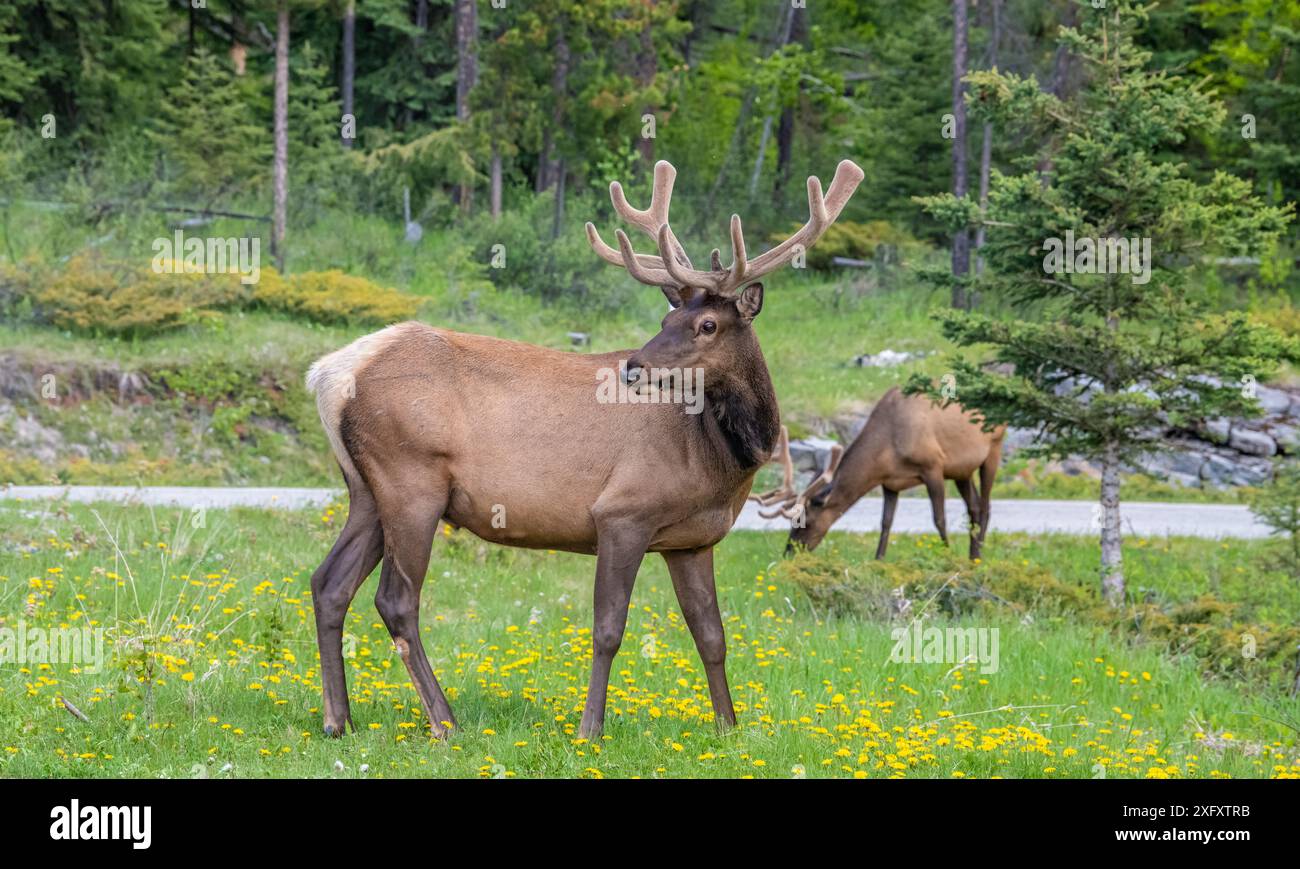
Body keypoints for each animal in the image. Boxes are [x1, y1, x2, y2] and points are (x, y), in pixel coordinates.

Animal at [305, 159, 865, 739]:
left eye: (707, 324)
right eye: (666, 320)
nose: (634, 367)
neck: (721, 459)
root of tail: (327, 374)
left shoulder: (692, 540)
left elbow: (711, 633)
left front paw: (728, 726)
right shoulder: (623, 512)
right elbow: (608, 627)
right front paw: (590, 727)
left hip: (366, 490)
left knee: (328, 583)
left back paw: (338, 721)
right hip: (411, 482)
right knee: (396, 600)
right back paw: (444, 722)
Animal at [753, 388, 1005, 559]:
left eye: (804, 522)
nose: (789, 552)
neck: (887, 449)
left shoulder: (933, 466)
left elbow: (939, 518)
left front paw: (947, 554)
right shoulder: (890, 482)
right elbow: (886, 522)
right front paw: (878, 559)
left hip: (992, 451)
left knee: (986, 507)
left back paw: (978, 556)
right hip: (962, 471)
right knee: (973, 507)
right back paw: (972, 556)